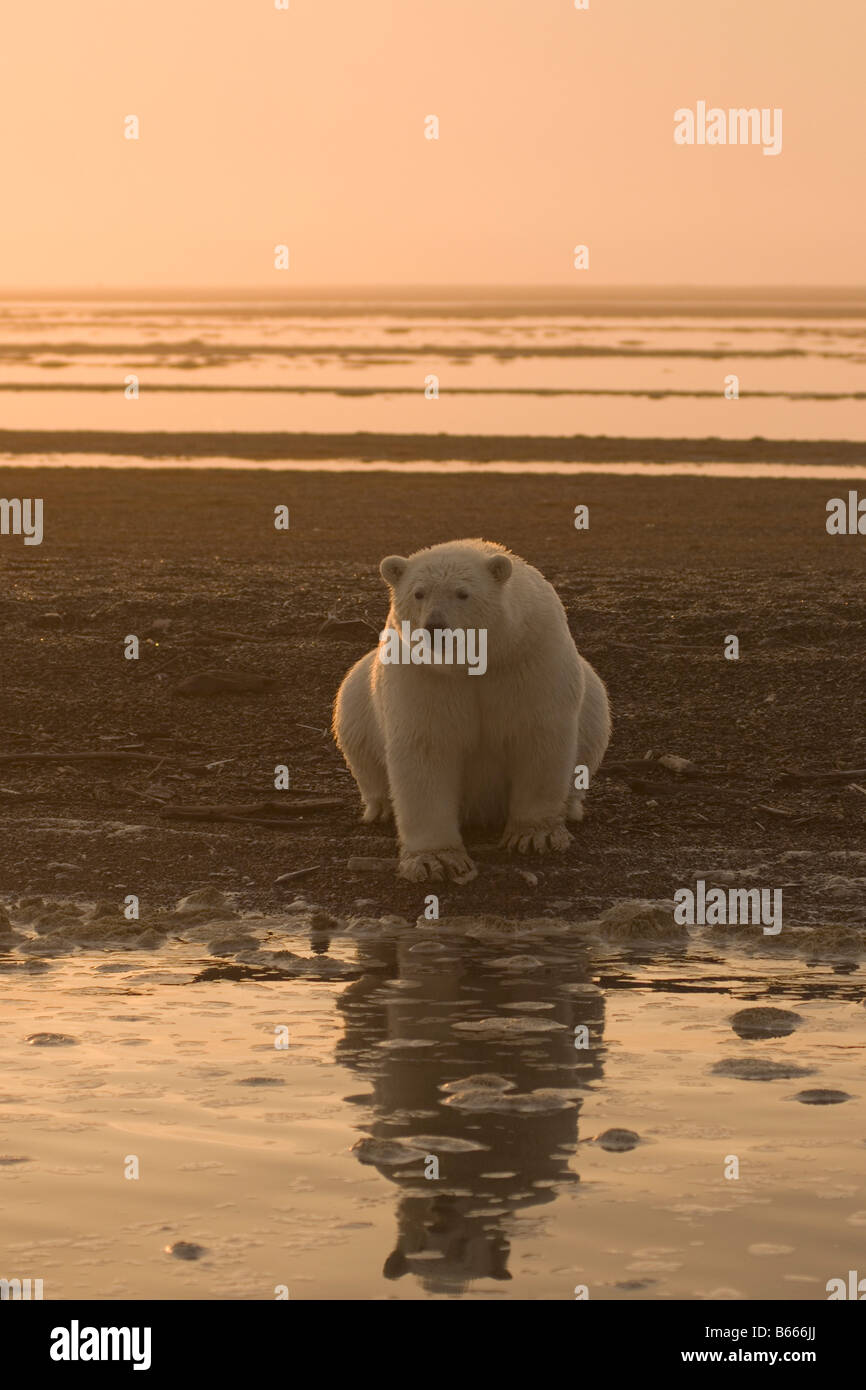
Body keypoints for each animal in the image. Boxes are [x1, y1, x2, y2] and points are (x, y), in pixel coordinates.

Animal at [332, 539, 611, 883]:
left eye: (463, 593)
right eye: (419, 593)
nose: (435, 627)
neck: (473, 660)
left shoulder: (528, 658)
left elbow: (537, 734)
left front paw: (535, 835)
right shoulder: (423, 673)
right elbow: (426, 747)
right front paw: (435, 860)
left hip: (593, 699)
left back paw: (570, 806)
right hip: (359, 697)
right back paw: (382, 807)